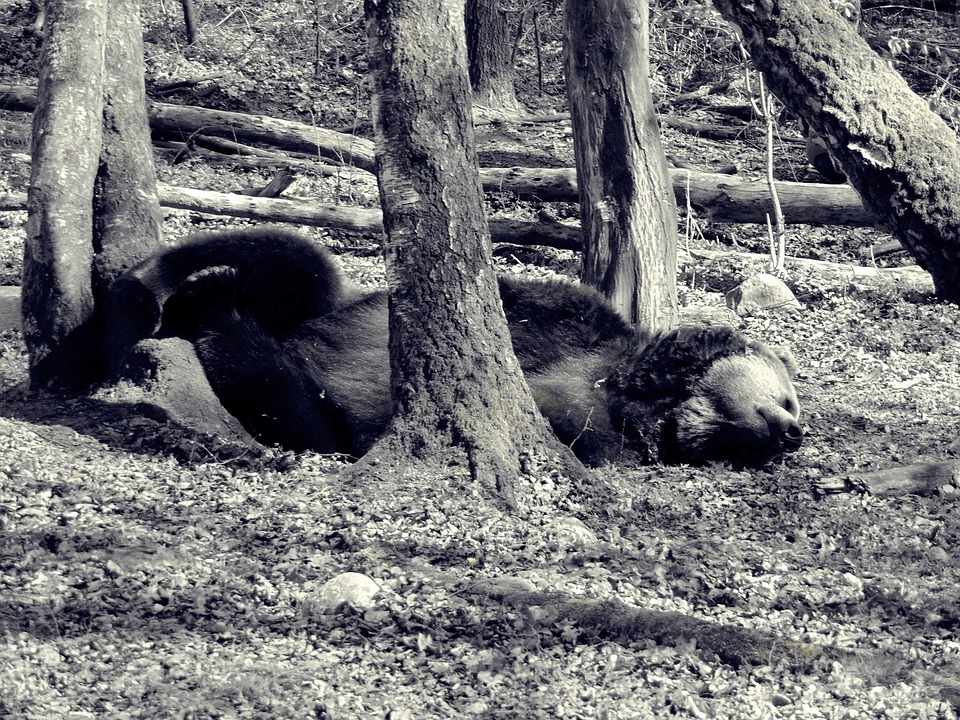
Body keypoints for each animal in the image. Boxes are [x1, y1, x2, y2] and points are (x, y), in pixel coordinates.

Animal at [110, 227, 803, 467]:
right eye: (791, 398)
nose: (793, 433)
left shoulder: (595, 427)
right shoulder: (558, 312)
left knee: (280, 389)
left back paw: (206, 308)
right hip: (325, 297)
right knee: (291, 258)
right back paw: (150, 287)